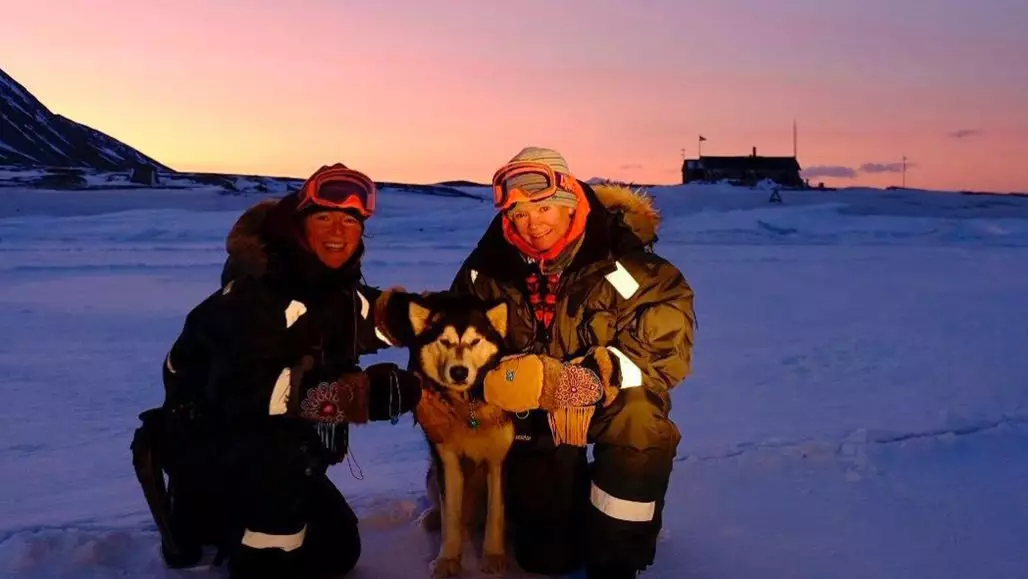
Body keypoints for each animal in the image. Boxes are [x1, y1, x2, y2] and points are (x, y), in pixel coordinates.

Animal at [402, 292, 511, 575]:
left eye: (474, 340)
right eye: (445, 341)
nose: (459, 371)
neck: (469, 409)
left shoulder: (498, 461)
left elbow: (496, 513)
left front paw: (493, 555)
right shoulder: (447, 460)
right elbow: (450, 514)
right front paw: (448, 559)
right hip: (432, 471)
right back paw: (431, 517)